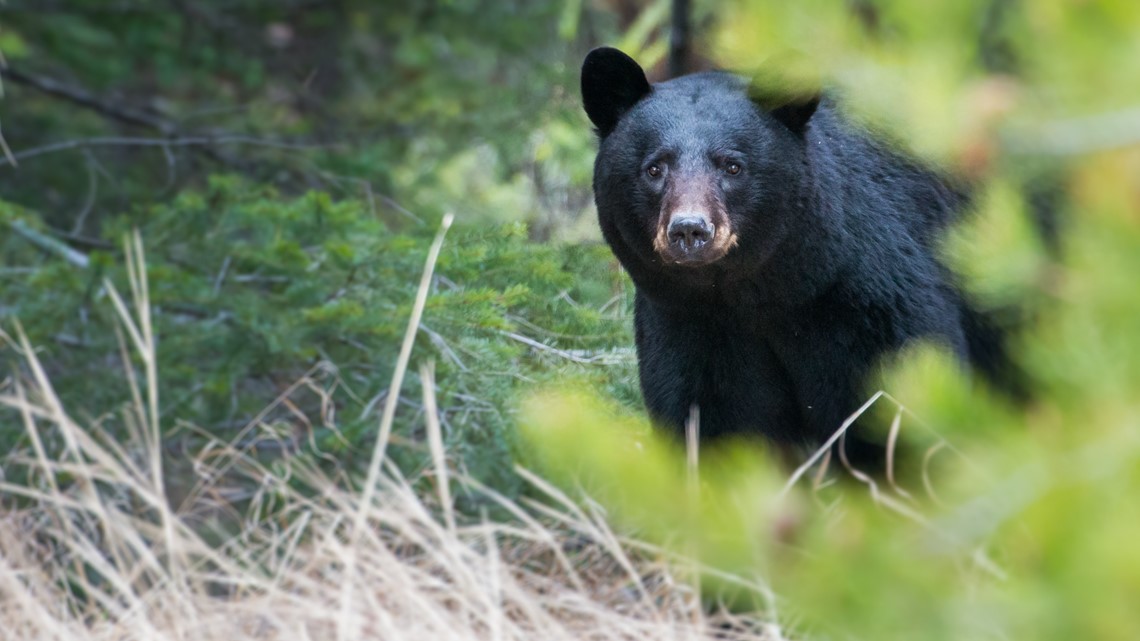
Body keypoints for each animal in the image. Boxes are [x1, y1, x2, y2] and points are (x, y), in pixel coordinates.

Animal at [581, 47, 1009, 461]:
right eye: (655, 168)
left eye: (733, 166)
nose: (690, 229)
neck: (764, 294)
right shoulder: (690, 323)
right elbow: (713, 420)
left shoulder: (870, 302)